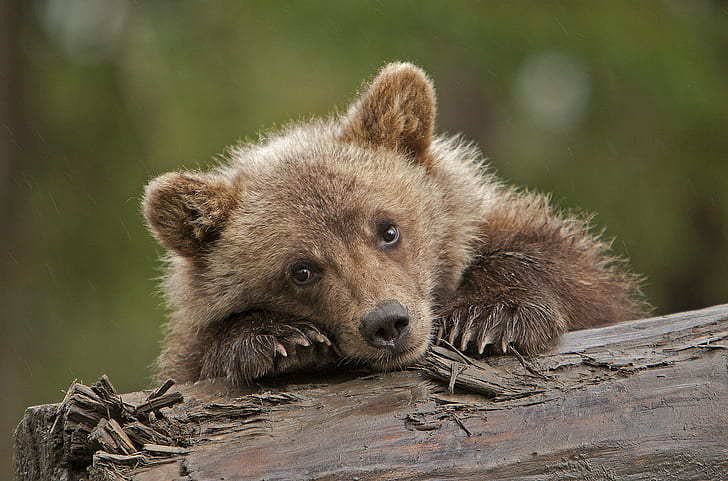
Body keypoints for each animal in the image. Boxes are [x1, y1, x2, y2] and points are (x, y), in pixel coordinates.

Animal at [142, 62, 648, 386]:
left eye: (388, 229)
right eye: (301, 270)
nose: (387, 323)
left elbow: (565, 268)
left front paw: (490, 318)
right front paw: (278, 340)